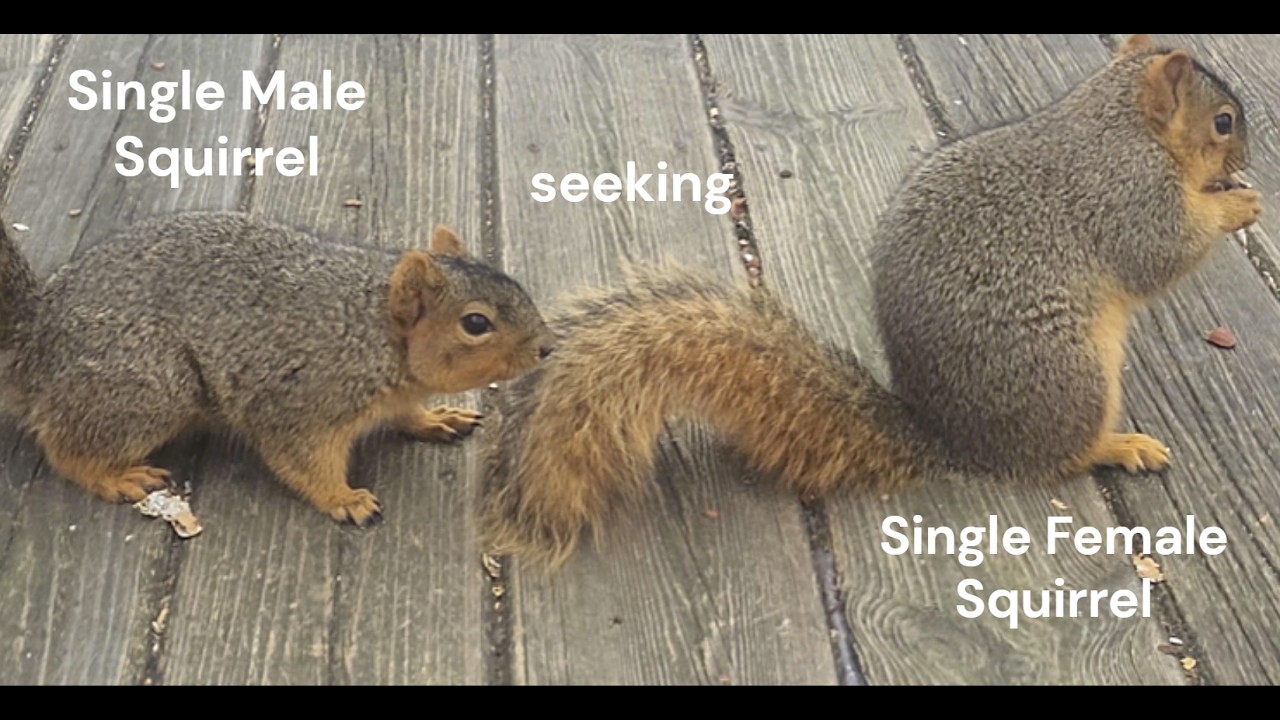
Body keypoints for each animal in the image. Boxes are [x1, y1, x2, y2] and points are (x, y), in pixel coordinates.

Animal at [0, 210, 555, 526]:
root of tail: (39, 339)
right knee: (64, 444)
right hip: (149, 389)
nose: (547, 347)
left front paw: (436, 417)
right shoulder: (299, 402)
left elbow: (408, 414)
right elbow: (302, 459)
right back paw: (115, 476)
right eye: (476, 323)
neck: (375, 334)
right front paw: (344, 498)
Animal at [476, 34, 1264, 568]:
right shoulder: (1127, 197)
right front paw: (1235, 207)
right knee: (1060, 457)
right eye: (1223, 122)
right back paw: (1119, 445)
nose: (1247, 161)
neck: (1118, 123)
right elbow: (1161, 251)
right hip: (1070, 377)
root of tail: (955, 439)